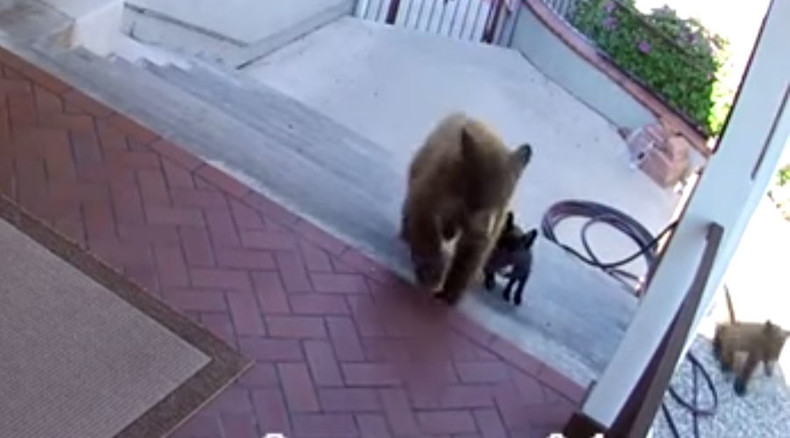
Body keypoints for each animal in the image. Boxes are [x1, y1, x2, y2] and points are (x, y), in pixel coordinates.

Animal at [400, 112, 532, 305]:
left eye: (500, 202)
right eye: (476, 195)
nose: (482, 231)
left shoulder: (492, 223)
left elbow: (472, 254)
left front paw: (451, 292)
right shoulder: (436, 188)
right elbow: (424, 218)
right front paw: (431, 275)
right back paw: (407, 234)